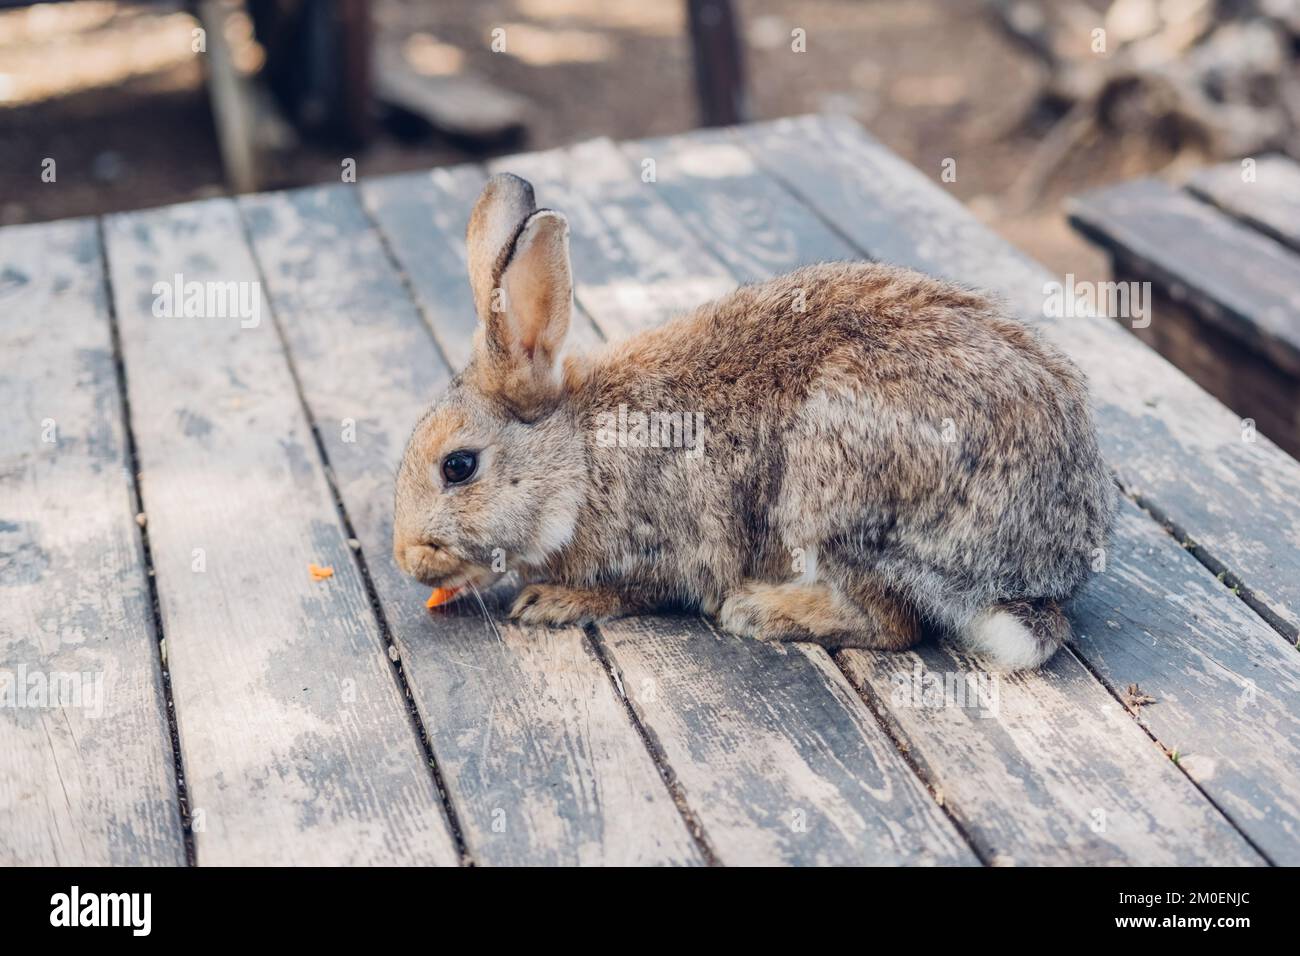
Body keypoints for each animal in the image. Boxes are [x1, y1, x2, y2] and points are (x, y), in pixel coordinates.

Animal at [393, 173, 1117, 671]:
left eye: (459, 467)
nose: (408, 560)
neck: (580, 456)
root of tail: (1052, 563)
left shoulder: (672, 545)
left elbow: (639, 588)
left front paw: (553, 602)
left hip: (834, 491)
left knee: (894, 623)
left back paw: (761, 609)